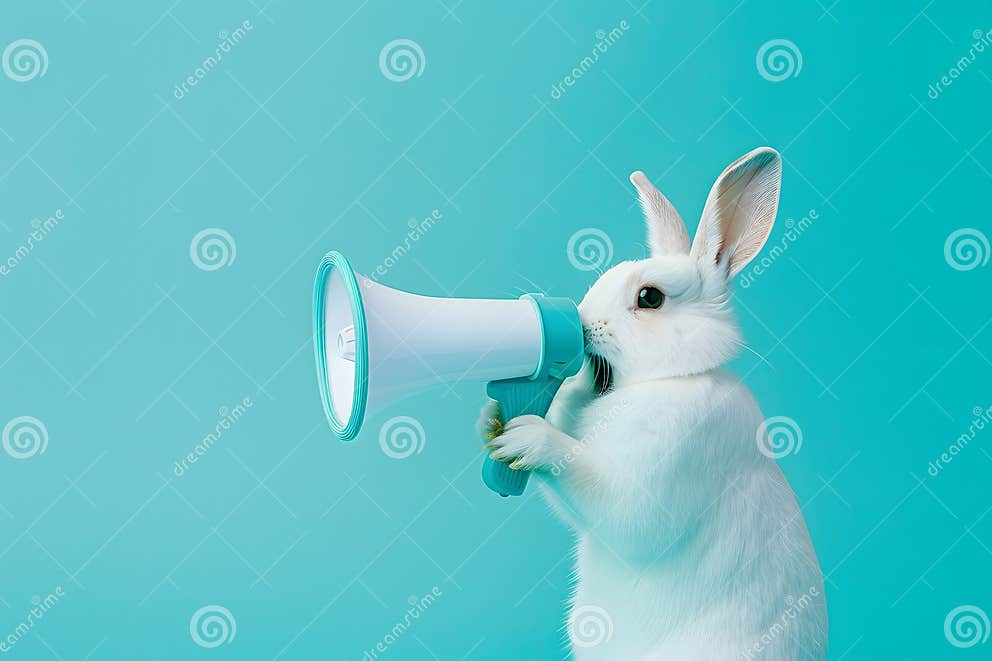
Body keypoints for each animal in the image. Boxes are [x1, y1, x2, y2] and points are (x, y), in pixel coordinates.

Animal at [480, 148, 827, 660]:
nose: (582, 321)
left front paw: (525, 439)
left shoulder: (650, 485)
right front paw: (490, 420)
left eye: (650, 297)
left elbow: (607, 499)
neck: (666, 379)